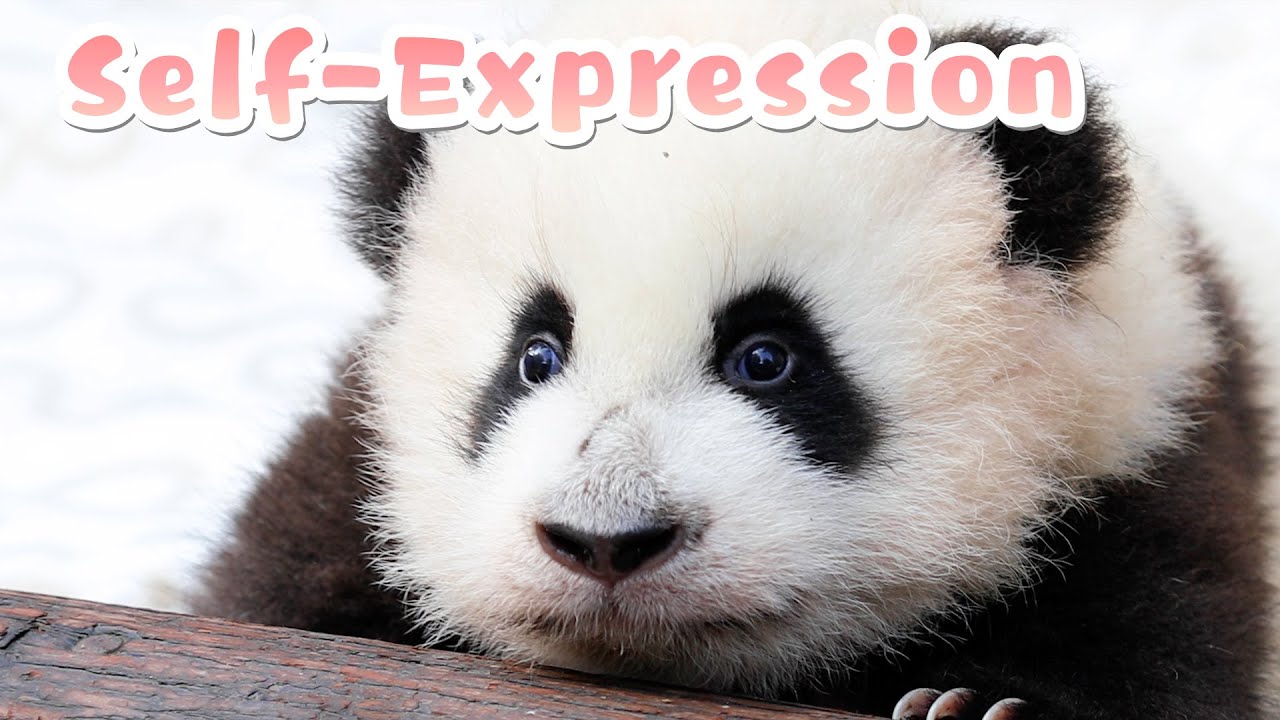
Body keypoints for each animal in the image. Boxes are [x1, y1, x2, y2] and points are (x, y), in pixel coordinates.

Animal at [190, 3, 1277, 719]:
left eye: (767, 359)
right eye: (535, 355)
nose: (605, 541)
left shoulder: (1151, 450)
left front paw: (971, 705)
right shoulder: (344, 473)